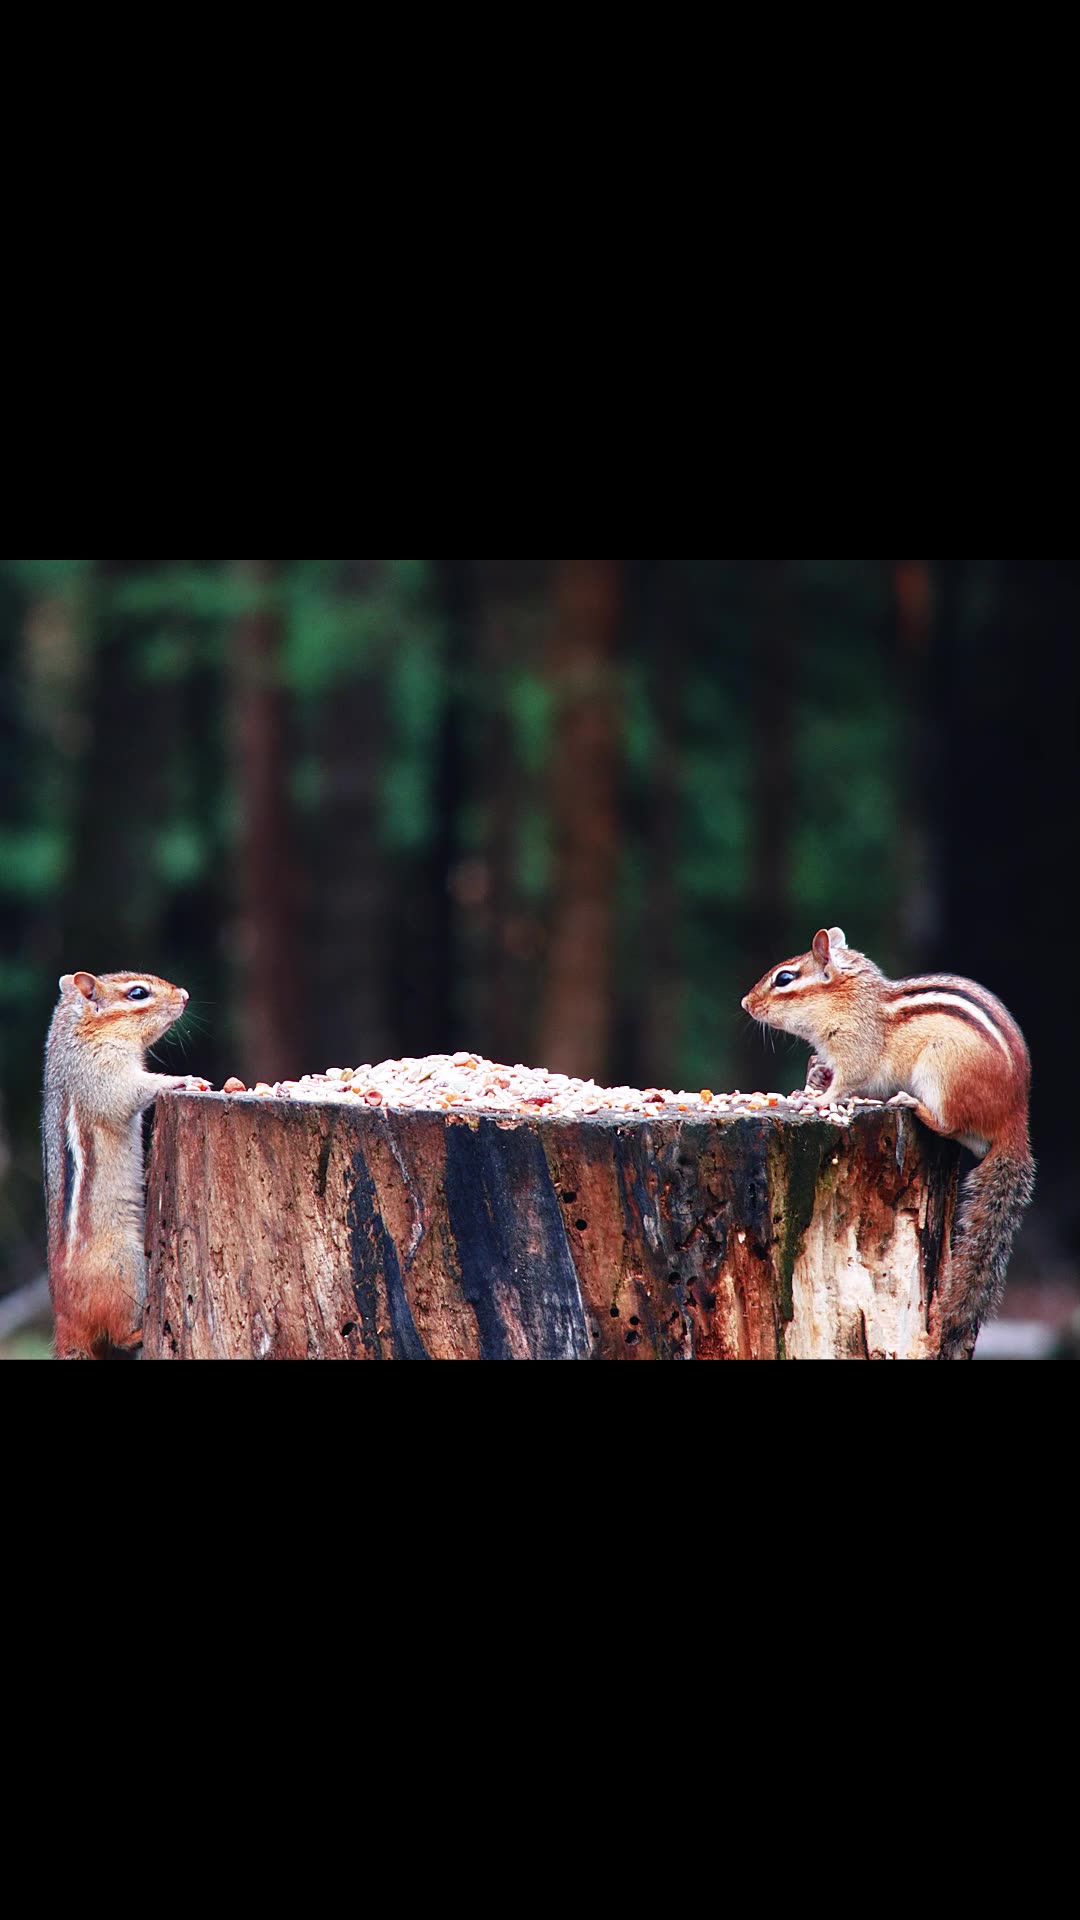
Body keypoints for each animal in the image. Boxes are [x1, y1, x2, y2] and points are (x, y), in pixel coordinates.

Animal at [42, 970, 210, 1361]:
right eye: (137, 994)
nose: (185, 995)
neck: (79, 1034)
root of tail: (64, 1319)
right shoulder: (104, 1073)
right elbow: (131, 1093)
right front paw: (182, 1079)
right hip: (127, 1263)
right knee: (118, 1332)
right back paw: (137, 1333)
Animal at [742, 927, 1034, 1360]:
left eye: (784, 978)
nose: (745, 1003)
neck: (849, 1003)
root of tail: (1014, 1119)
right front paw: (812, 1076)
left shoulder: (856, 1051)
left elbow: (847, 1081)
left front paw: (820, 1099)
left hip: (941, 1073)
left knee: (947, 1124)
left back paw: (910, 1103)